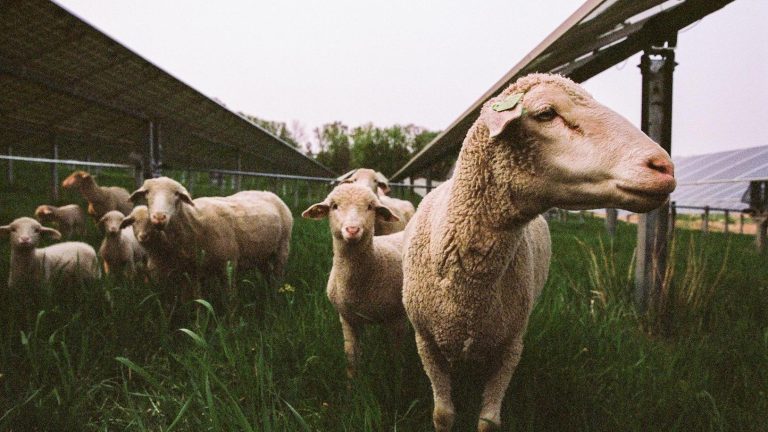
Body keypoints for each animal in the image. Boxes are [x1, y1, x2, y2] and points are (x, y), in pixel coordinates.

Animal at [129, 177, 293, 292]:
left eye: (177, 194)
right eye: (147, 193)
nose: (159, 217)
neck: (194, 220)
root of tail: (268, 192)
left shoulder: (228, 264)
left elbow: (229, 301)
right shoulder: (191, 272)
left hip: (283, 247)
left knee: (277, 276)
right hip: (261, 254)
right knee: (267, 275)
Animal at [302, 183, 408, 378]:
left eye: (370, 207)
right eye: (334, 206)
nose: (352, 230)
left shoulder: (397, 319)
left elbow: (396, 358)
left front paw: (397, 380)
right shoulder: (347, 319)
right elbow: (351, 358)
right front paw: (353, 382)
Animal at [402, 73, 676, 432]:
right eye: (546, 113)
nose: (663, 166)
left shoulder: (510, 347)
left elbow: (488, 421)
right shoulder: (426, 343)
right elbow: (443, 414)